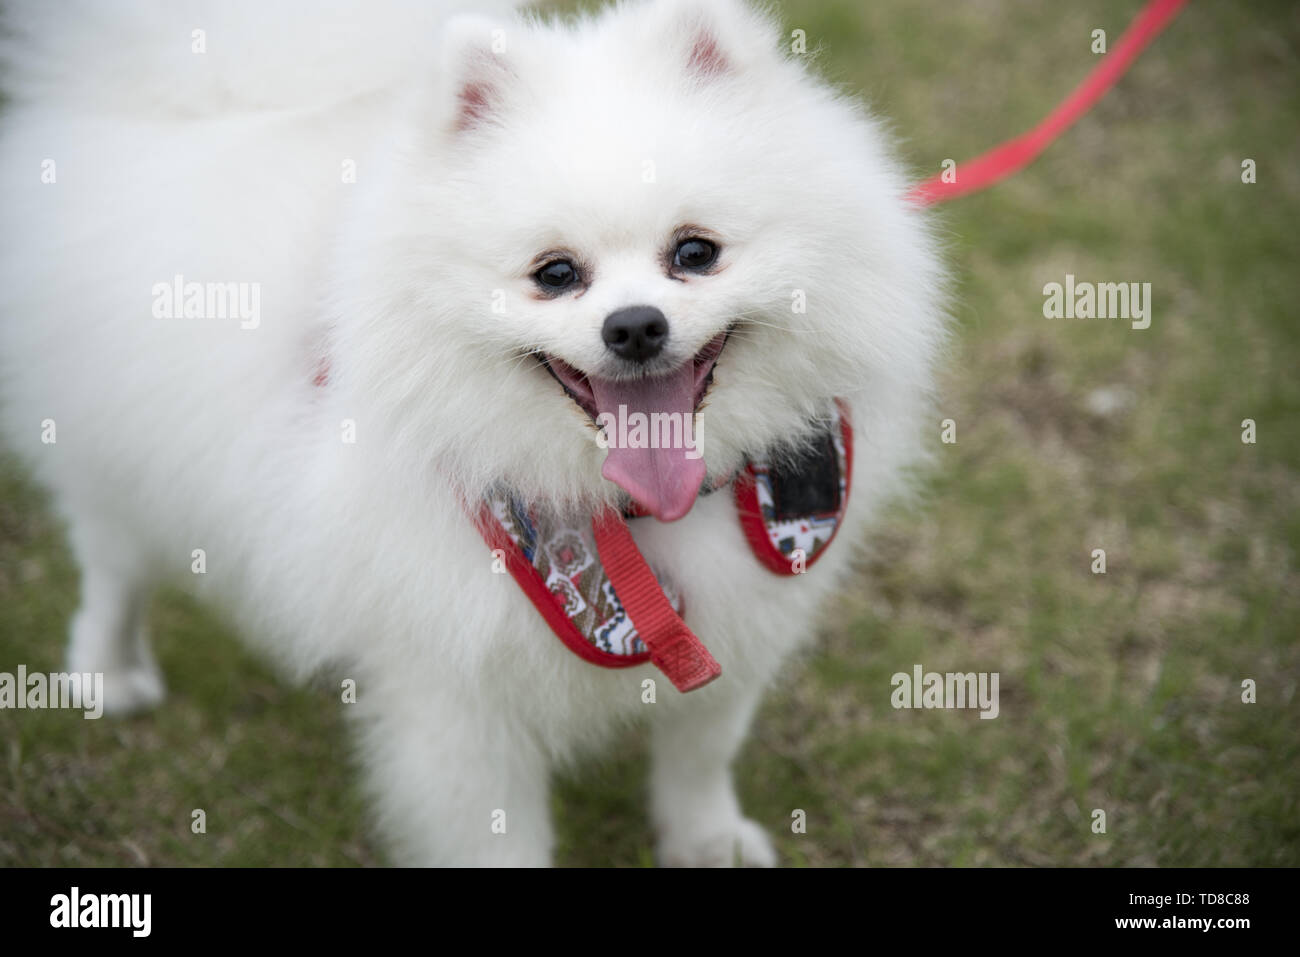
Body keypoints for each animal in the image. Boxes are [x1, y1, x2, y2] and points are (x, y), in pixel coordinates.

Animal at [0, 0, 946, 865]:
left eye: (695, 252)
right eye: (555, 273)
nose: (634, 326)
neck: (627, 514)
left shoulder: (738, 617)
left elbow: (700, 752)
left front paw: (708, 841)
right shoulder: (454, 697)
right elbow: (494, 833)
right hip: (114, 455)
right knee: (113, 567)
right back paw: (107, 670)